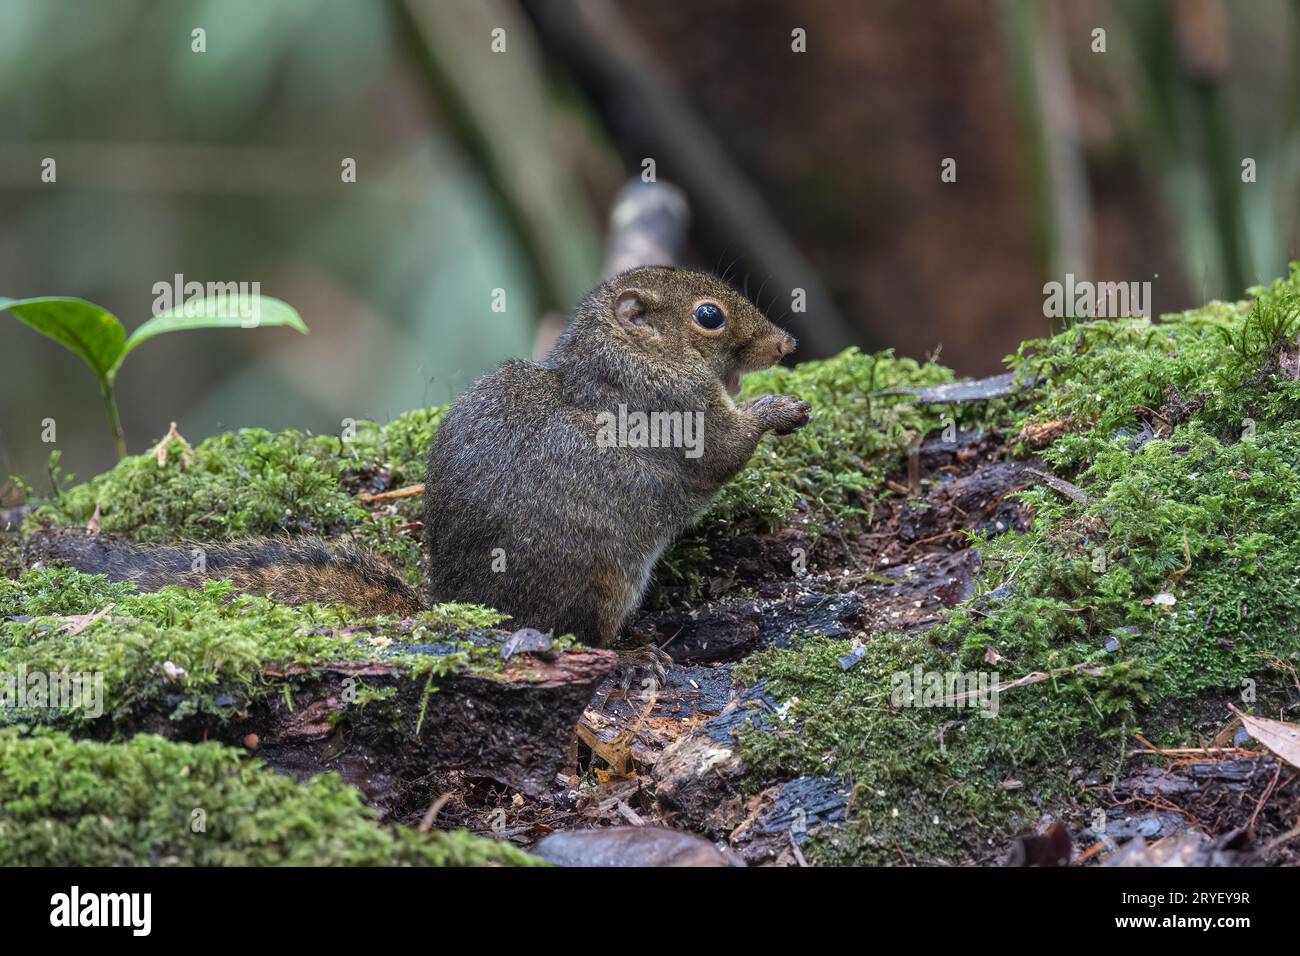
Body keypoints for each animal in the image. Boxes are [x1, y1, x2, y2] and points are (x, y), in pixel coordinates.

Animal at [37, 267, 811, 650]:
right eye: (708, 316)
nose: (785, 344)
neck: (621, 362)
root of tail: (459, 606)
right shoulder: (677, 409)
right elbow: (723, 452)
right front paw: (780, 410)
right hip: (602, 584)